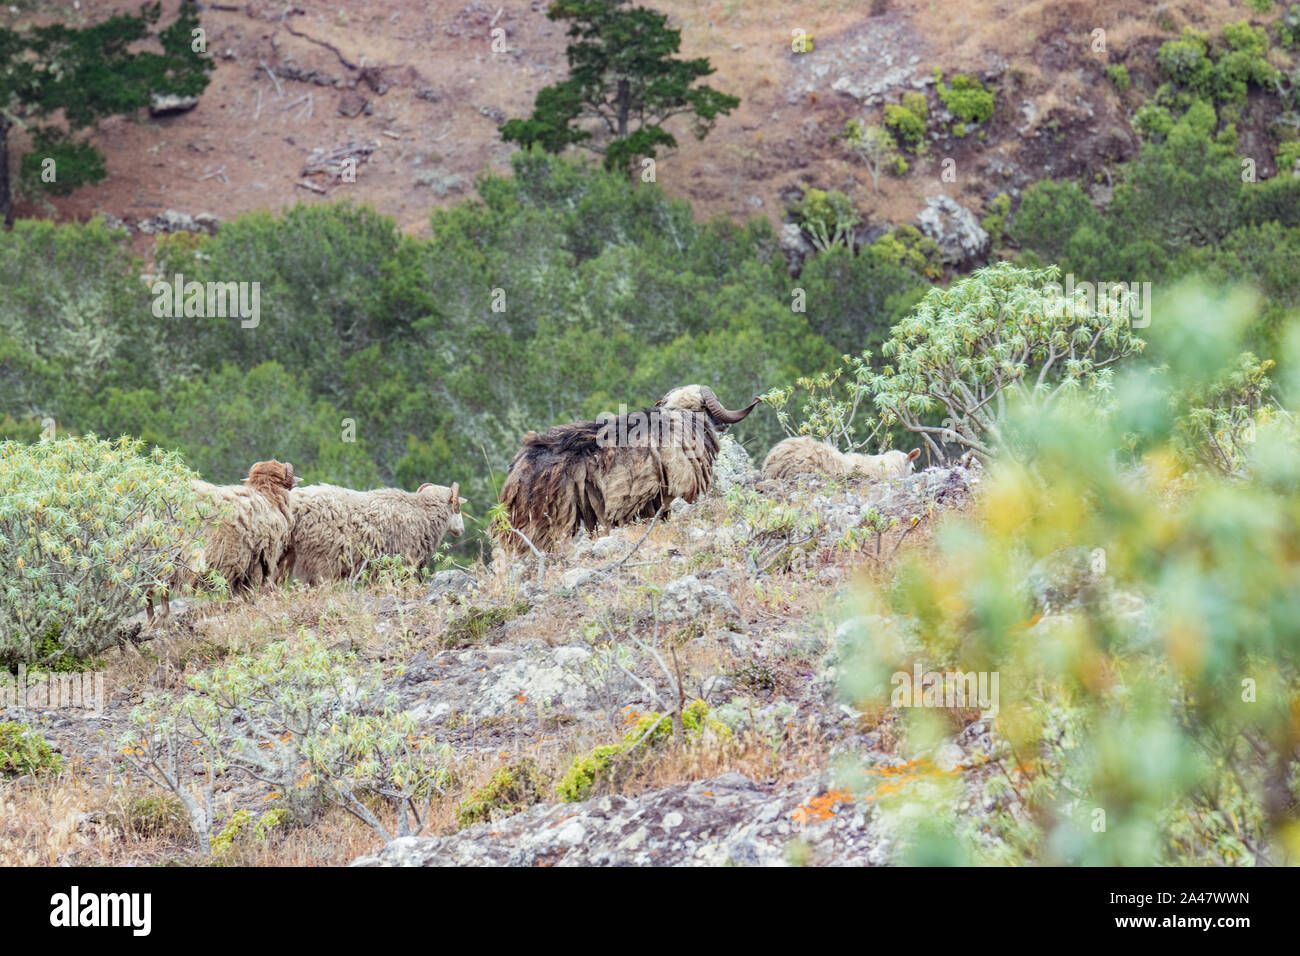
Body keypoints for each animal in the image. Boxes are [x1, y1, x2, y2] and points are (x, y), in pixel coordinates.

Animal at [280, 481, 466, 585]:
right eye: (457, 508)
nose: (462, 529)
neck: (423, 511)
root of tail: (296, 503)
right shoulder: (404, 562)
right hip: (318, 561)